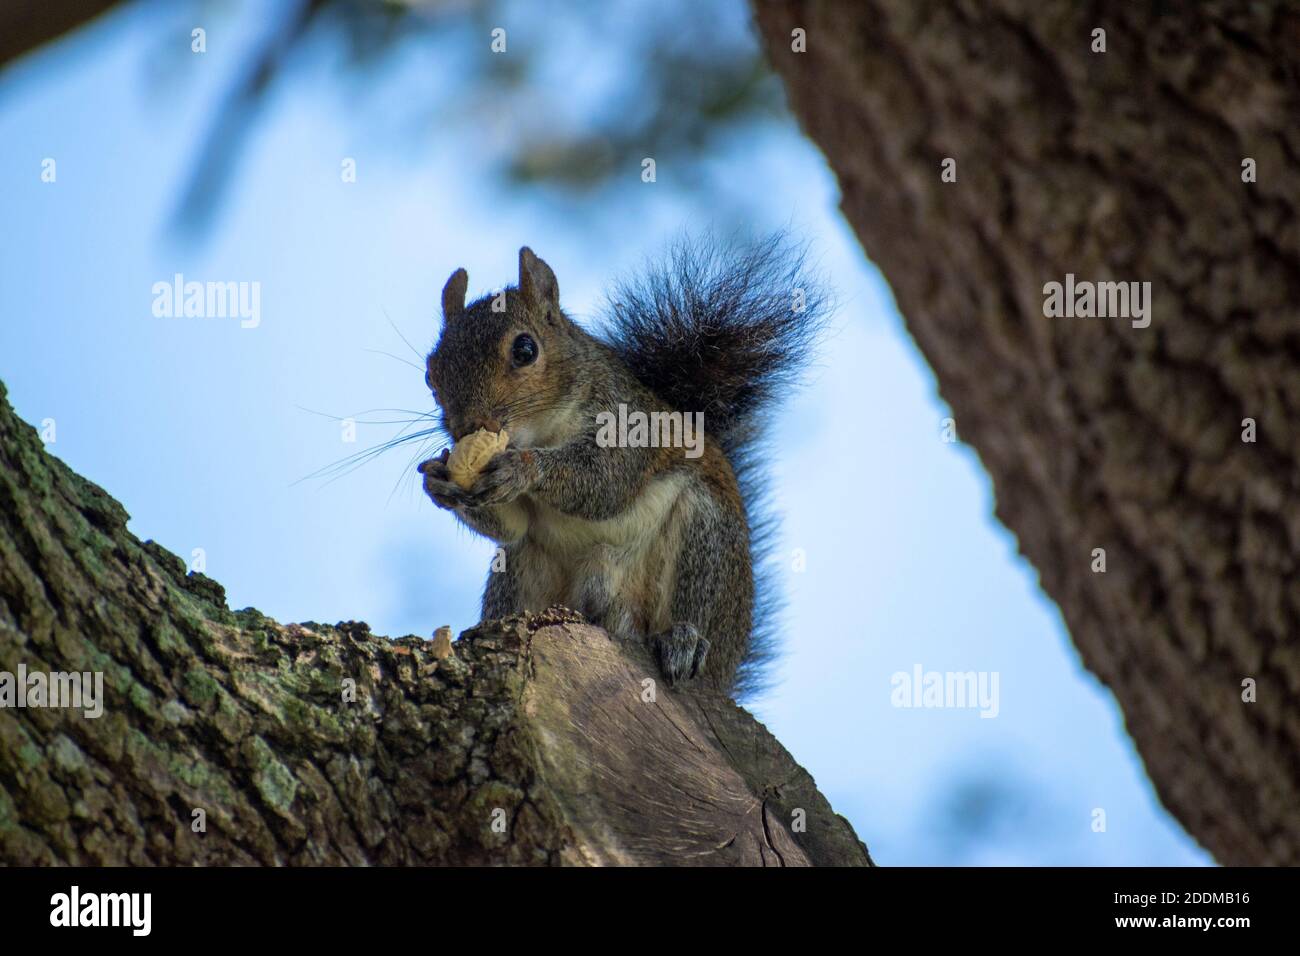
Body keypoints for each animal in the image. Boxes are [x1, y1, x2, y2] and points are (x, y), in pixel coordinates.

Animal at [417, 233, 827, 699]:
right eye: (431, 374)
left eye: (525, 349)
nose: (468, 427)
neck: (542, 432)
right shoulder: (516, 520)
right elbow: (513, 525)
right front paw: (439, 482)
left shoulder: (629, 425)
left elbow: (605, 481)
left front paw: (522, 469)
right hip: (520, 568)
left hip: (707, 538)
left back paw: (684, 641)